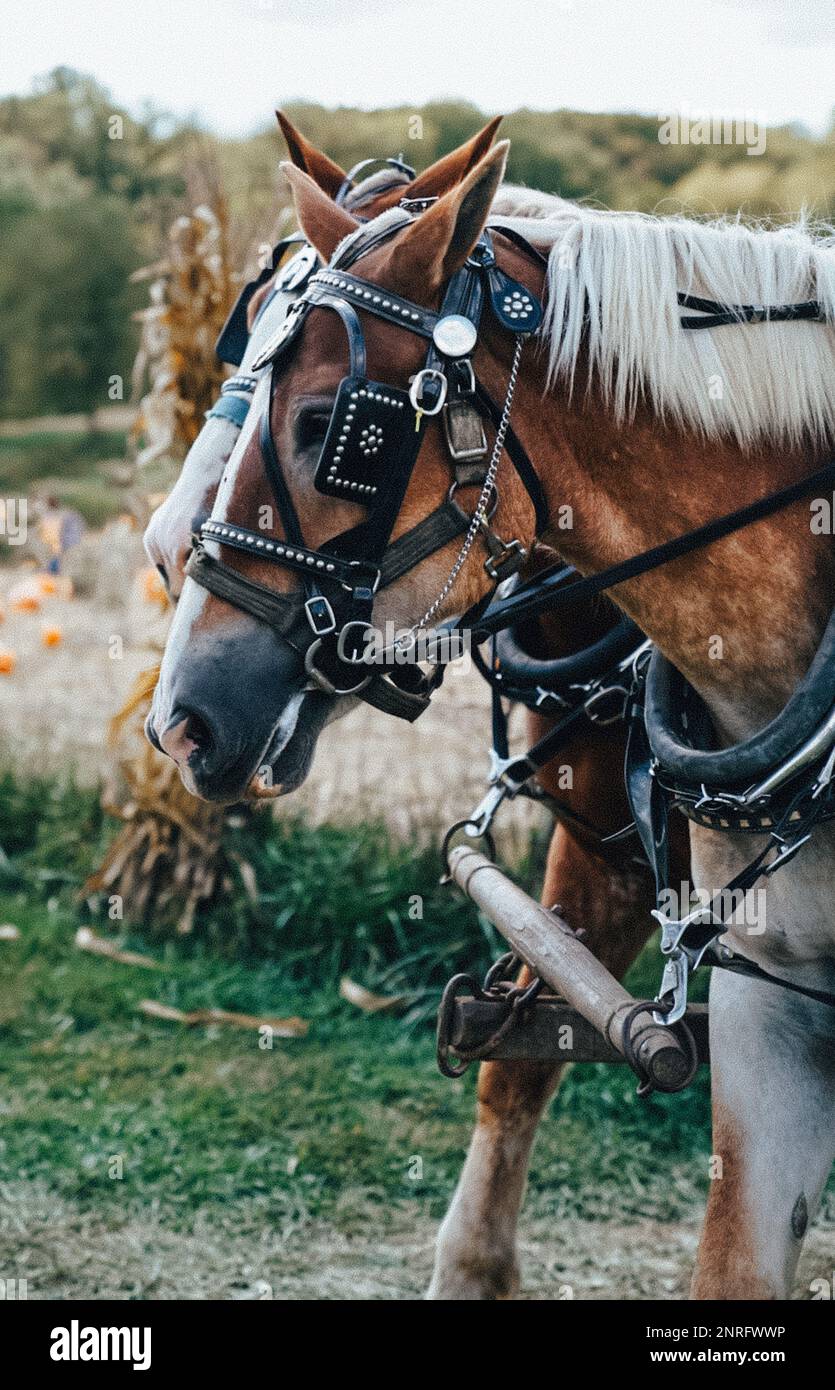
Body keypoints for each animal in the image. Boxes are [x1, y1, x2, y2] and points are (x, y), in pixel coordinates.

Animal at [152, 137, 835, 1300]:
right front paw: (469, 1269)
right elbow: (528, 1065)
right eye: (249, 326)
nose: (183, 717)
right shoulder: (706, 938)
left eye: (336, 427)